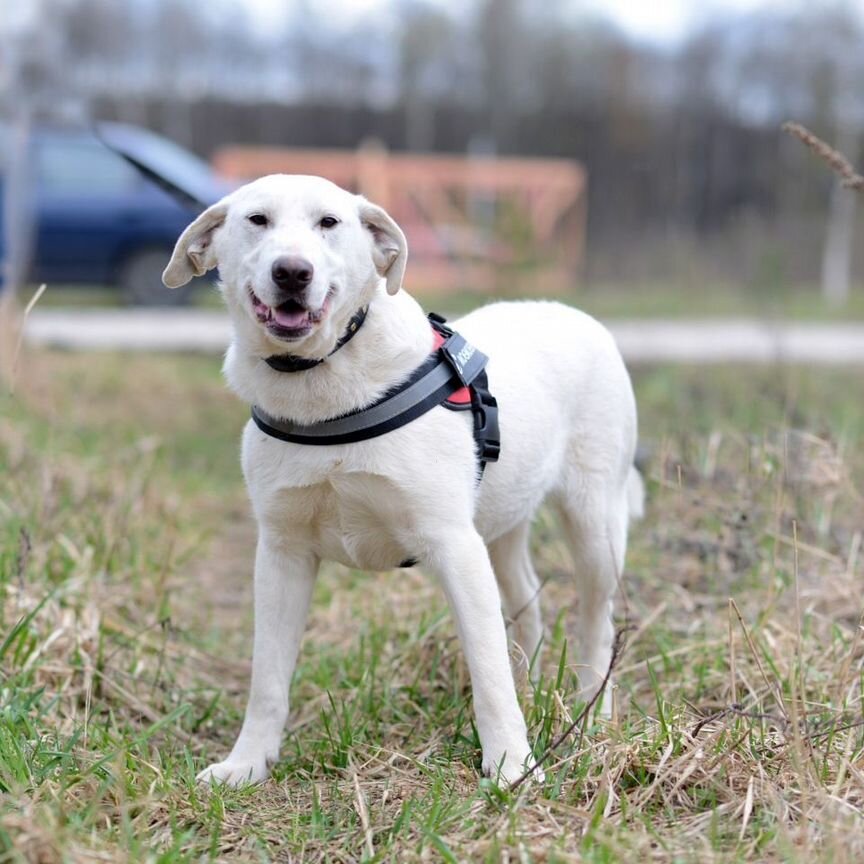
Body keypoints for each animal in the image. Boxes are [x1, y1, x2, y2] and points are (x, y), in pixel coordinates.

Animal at [164, 172, 640, 788]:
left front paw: (511, 768)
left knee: (595, 623)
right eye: (257, 221)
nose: (292, 272)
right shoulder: (282, 554)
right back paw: (536, 690)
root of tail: (574, 314)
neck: (322, 383)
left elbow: (488, 674)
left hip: (594, 528)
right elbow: (267, 678)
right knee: (527, 602)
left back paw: (592, 719)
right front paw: (247, 765)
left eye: (328, 223)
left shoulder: (455, 547)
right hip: (502, 525)